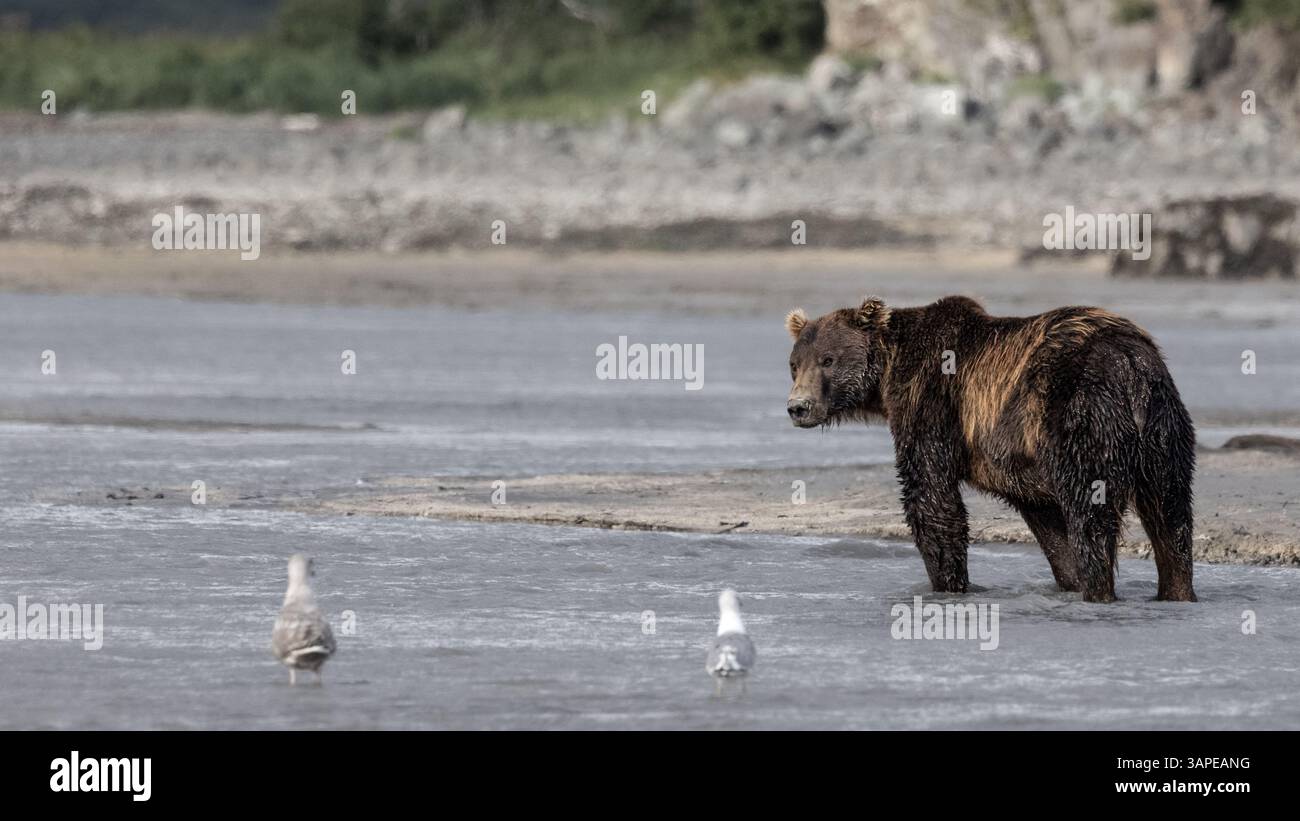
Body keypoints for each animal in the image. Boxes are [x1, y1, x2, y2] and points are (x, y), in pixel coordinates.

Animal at [784, 295, 1196, 603]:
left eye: (828, 360)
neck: (887, 377)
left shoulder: (933, 399)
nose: (798, 406)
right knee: (1170, 513)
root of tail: (1129, 365)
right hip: (1164, 429)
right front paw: (1067, 578)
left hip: (1081, 415)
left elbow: (931, 495)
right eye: (794, 364)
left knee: (1091, 513)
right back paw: (1177, 591)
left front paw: (949, 584)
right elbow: (1049, 523)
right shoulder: (1022, 462)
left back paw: (1099, 591)